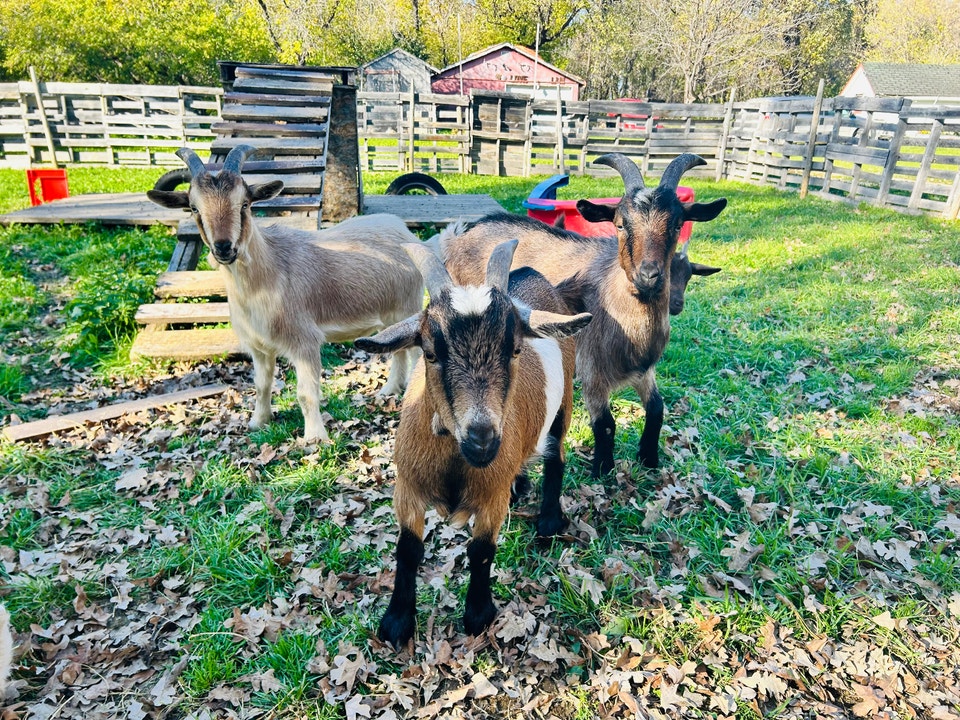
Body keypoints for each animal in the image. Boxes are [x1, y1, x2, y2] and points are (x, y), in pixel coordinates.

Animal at [147, 146, 424, 443]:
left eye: (245, 204)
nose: (224, 247)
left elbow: (305, 393)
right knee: (398, 350)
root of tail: (404, 230)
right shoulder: (258, 346)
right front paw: (258, 422)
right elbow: (261, 384)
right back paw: (390, 390)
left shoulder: (304, 340)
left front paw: (315, 438)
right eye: (194, 208)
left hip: (408, 306)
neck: (268, 274)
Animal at [355, 241, 591, 648]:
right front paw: (397, 623)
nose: (482, 438)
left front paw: (478, 615)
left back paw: (548, 519)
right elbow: (408, 549)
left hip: (565, 402)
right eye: (430, 352)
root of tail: (528, 272)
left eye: (514, 349)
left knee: (557, 454)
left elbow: (481, 551)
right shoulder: (408, 487)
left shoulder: (490, 495)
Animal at [438, 153, 727, 477]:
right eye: (620, 224)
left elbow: (657, 408)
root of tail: (456, 236)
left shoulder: (642, 371)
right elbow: (605, 424)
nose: (648, 275)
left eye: (678, 224)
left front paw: (648, 459)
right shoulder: (592, 371)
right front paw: (603, 469)